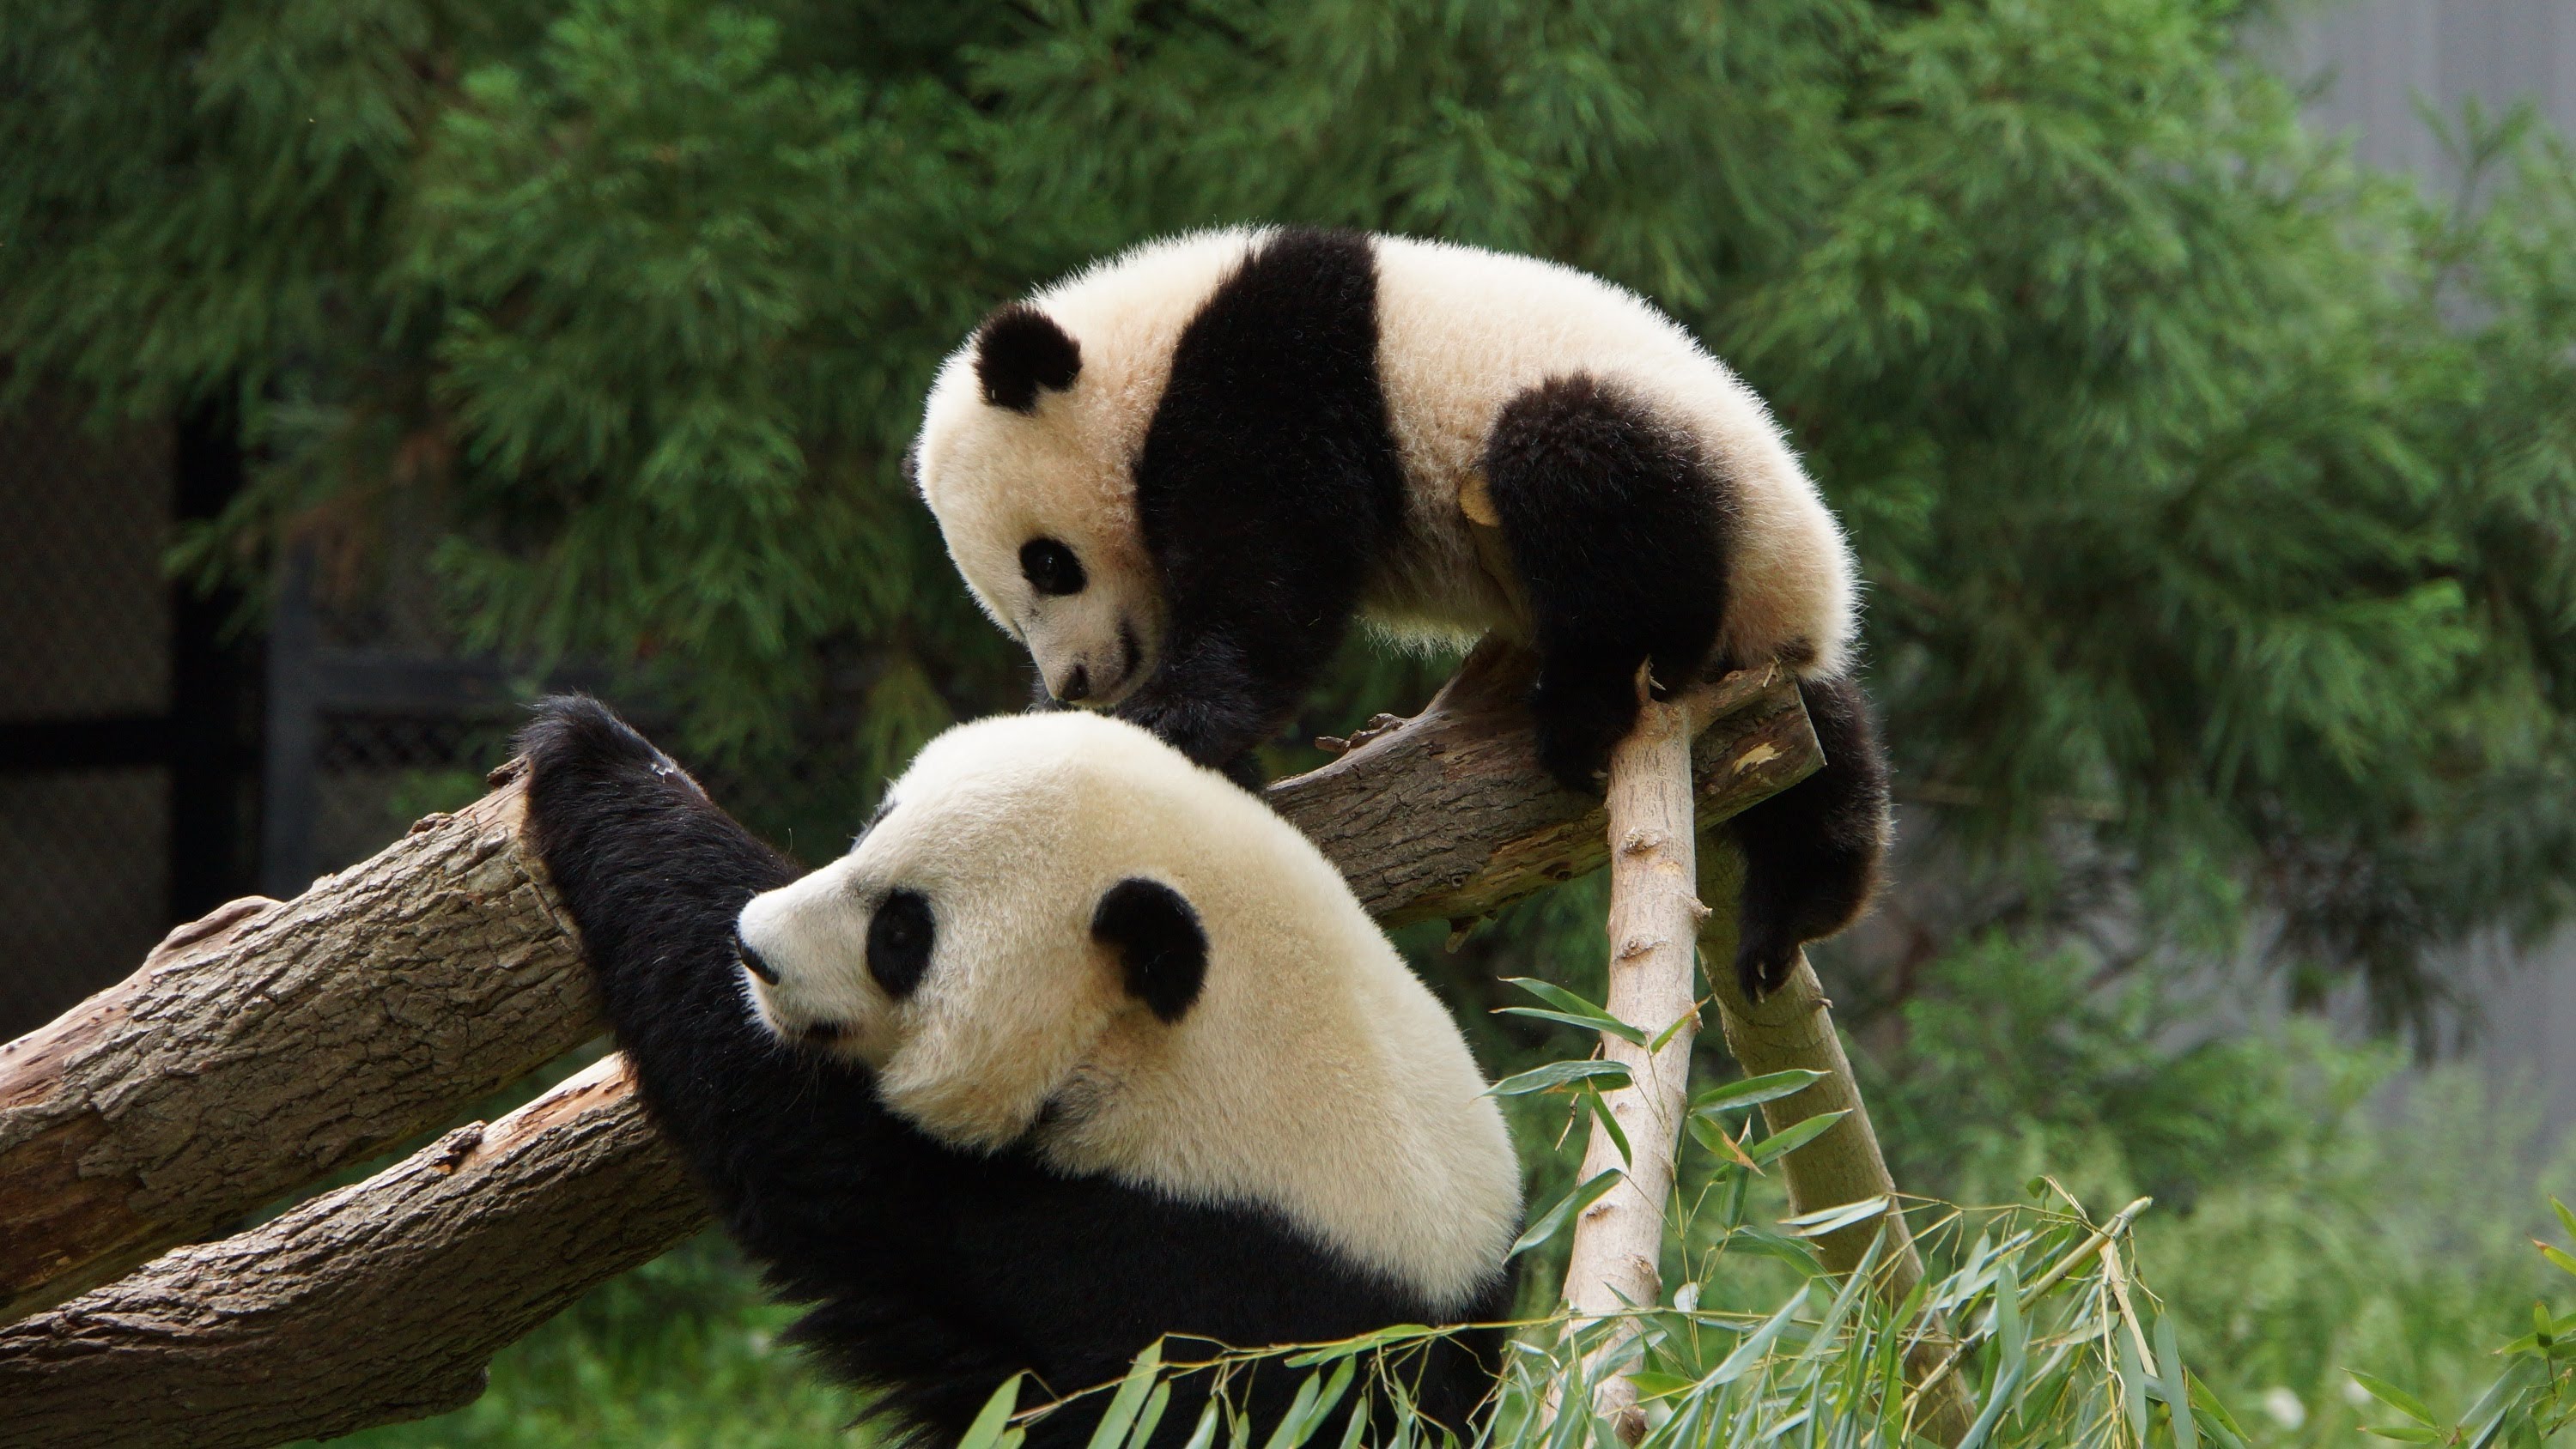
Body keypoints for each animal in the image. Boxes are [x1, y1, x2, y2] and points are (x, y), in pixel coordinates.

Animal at [515, 697, 1521, 1448]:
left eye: (901, 935)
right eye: (874, 823)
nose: (756, 950)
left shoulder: (1170, 1259)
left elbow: (797, 1131)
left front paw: (594, 757)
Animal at [910, 225, 1890, 1001]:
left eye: (1048, 563)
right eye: (1010, 611)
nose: (1078, 679)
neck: (1146, 353)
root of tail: (1821, 576)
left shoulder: (1273, 367)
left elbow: (1268, 573)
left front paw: (1171, 721)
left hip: (1690, 479)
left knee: (1577, 469)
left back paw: (1586, 708)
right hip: (1761, 622)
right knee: (1820, 750)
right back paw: (1802, 900)